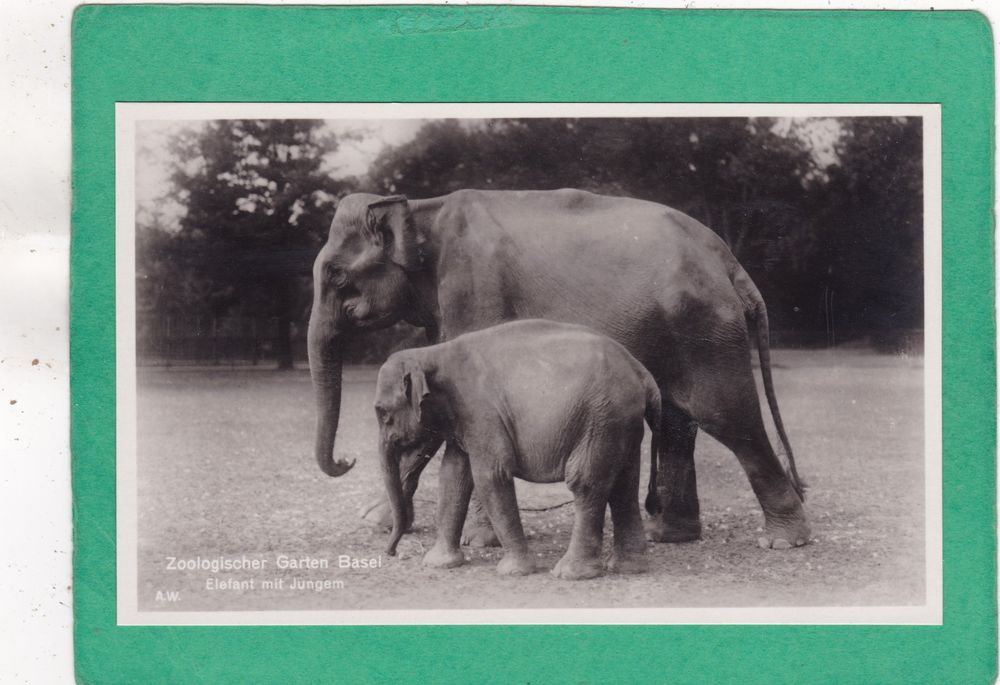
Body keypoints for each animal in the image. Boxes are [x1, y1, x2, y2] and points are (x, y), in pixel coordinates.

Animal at [308, 189, 810, 550]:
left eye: (336, 275)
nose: (346, 460)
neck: (420, 207)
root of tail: (728, 259)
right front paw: (379, 520)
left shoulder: (474, 290)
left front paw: (477, 541)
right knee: (677, 421)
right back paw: (668, 536)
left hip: (705, 328)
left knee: (727, 418)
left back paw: (784, 541)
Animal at [374, 320, 659, 579]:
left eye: (384, 414)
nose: (391, 552)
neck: (431, 352)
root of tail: (642, 373)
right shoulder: (464, 419)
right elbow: (452, 475)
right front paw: (438, 563)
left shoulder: (481, 411)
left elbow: (491, 475)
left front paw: (514, 571)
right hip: (620, 424)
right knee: (624, 484)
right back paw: (627, 567)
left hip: (601, 418)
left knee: (585, 482)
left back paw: (571, 573)